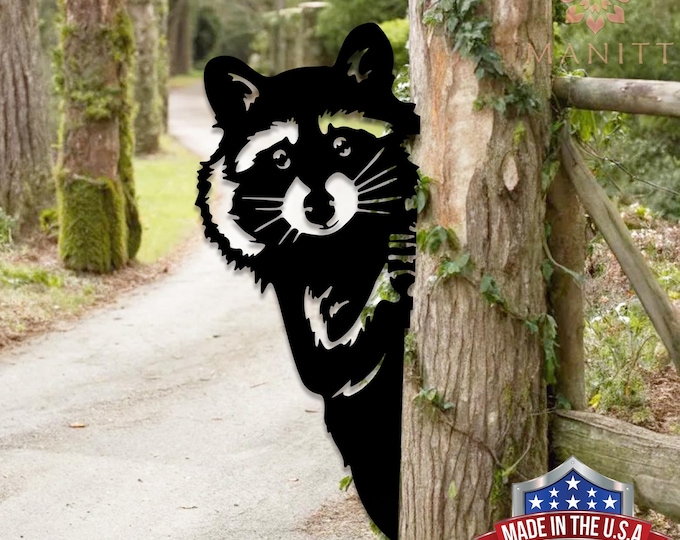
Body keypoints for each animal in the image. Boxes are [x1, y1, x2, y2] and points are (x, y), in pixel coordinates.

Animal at [197, 23, 419, 539]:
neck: (339, 246)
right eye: (281, 158)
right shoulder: (293, 291)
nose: (319, 208)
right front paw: (392, 278)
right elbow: (326, 365)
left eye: (342, 145)